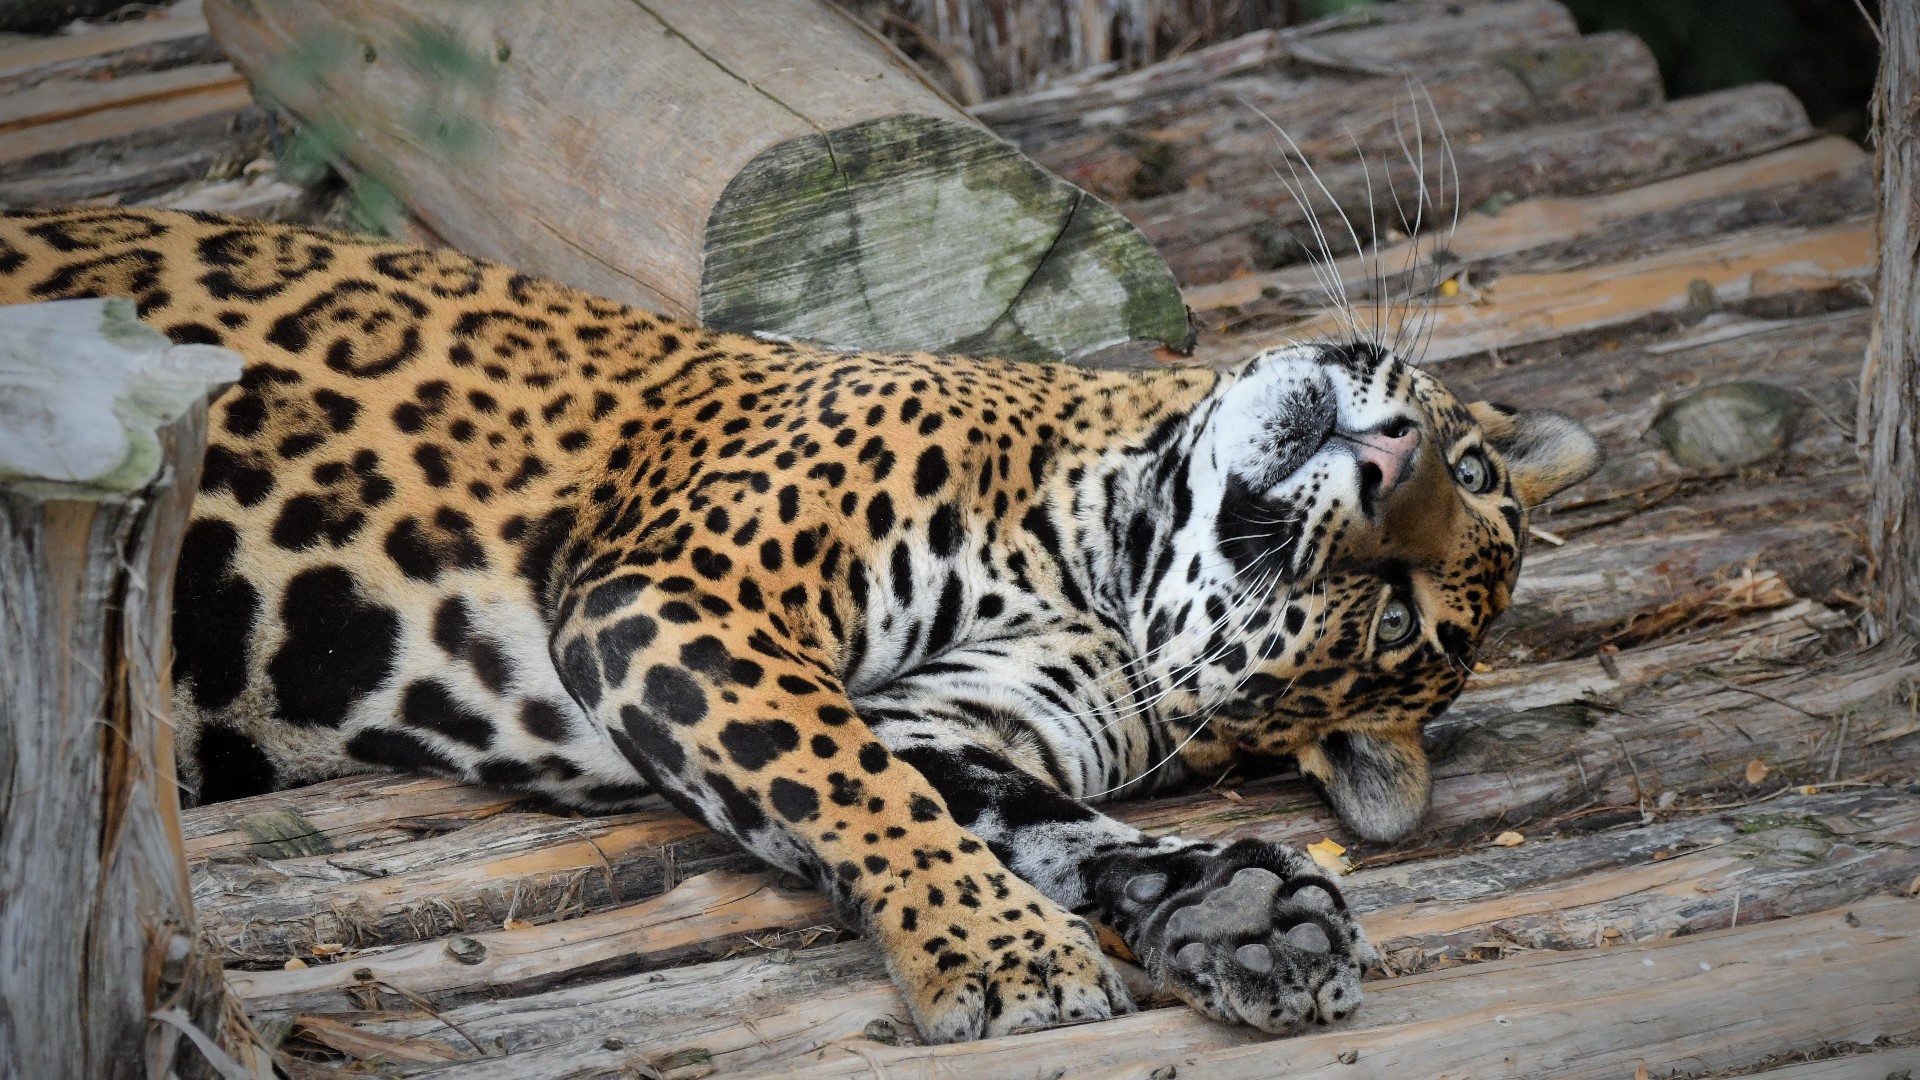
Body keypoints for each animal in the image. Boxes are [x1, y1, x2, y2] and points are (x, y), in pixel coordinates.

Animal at [0, 207, 1599, 1043]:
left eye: (1393, 624)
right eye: (1466, 472)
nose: (1392, 461)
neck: (1101, 540)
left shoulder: (943, 719)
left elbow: (1017, 817)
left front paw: (1239, 912)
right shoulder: (682, 594)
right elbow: (859, 792)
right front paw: (1001, 959)